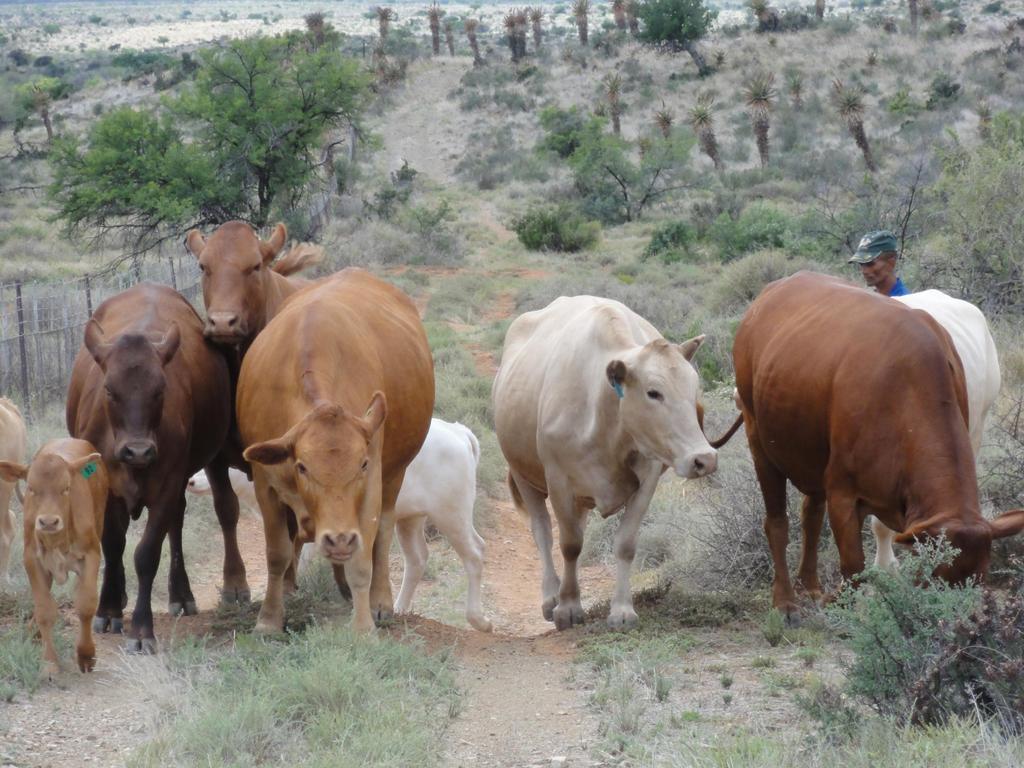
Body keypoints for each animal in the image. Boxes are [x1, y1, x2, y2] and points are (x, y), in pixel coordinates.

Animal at [0, 440, 107, 678]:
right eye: (31, 488)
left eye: (66, 488)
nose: (48, 522)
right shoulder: (32, 560)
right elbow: (45, 610)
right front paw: (49, 662)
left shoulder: (92, 554)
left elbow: (86, 604)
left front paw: (86, 654)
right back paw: (33, 630)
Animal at [66, 283, 246, 653]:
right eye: (109, 389)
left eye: (160, 389)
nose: (138, 451)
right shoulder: (105, 489)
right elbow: (113, 544)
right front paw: (108, 610)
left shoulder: (168, 485)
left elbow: (146, 554)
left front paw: (141, 629)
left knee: (178, 524)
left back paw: (181, 594)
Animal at [237, 269, 434, 633]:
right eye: (301, 466)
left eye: (362, 464)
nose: (338, 539)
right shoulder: (265, 485)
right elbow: (277, 554)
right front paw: (269, 619)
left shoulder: (372, 485)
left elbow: (362, 558)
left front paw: (363, 625)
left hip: (394, 477)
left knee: (383, 535)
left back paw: (379, 600)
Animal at [492, 295, 718, 630]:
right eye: (653, 392)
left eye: (693, 390)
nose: (704, 459)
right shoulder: (558, 480)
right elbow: (569, 544)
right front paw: (567, 607)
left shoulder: (647, 477)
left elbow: (624, 544)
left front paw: (622, 610)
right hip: (523, 474)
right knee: (543, 532)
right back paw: (550, 596)